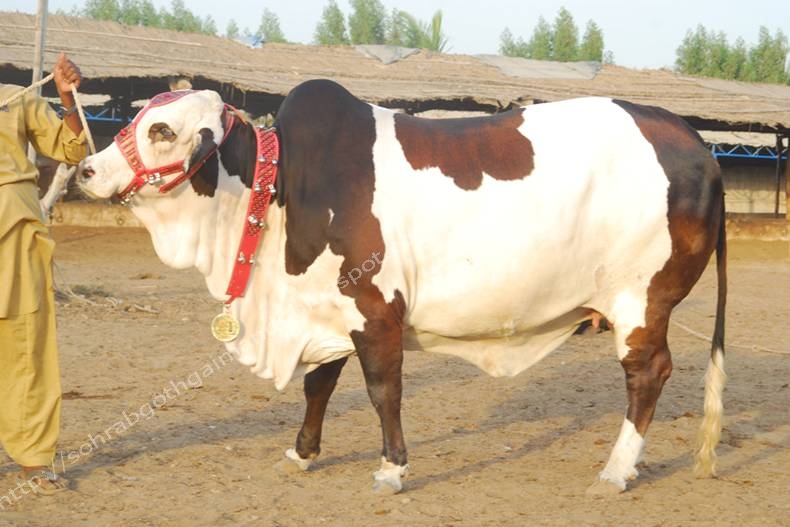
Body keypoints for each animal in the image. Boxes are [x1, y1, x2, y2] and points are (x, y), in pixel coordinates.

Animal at [77, 80, 727, 495]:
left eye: (162, 129)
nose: (86, 169)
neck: (284, 187)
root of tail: (694, 141)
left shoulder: (374, 309)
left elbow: (381, 390)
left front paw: (392, 469)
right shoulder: (326, 308)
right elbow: (318, 385)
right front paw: (301, 453)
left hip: (641, 300)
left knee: (647, 374)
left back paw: (616, 470)